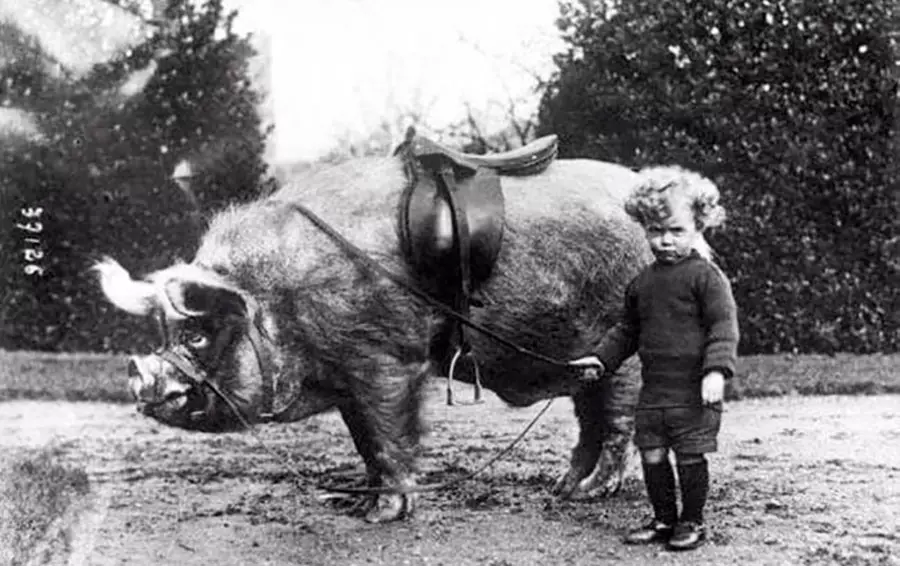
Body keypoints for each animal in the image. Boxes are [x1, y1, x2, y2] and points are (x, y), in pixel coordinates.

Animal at [96, 150, 652, 524]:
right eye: (165, 331)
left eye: (197, 335)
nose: (137, 374)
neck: (284, 296)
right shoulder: (347, 376)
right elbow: (364, 440)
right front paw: (356, 503)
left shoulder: (386, 358)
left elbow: (388, 434)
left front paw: (381, 515)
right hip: (583, 361)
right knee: (588, 423)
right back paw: (563, 488)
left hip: (622, 354)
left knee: (616, 423)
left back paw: (590, 493)